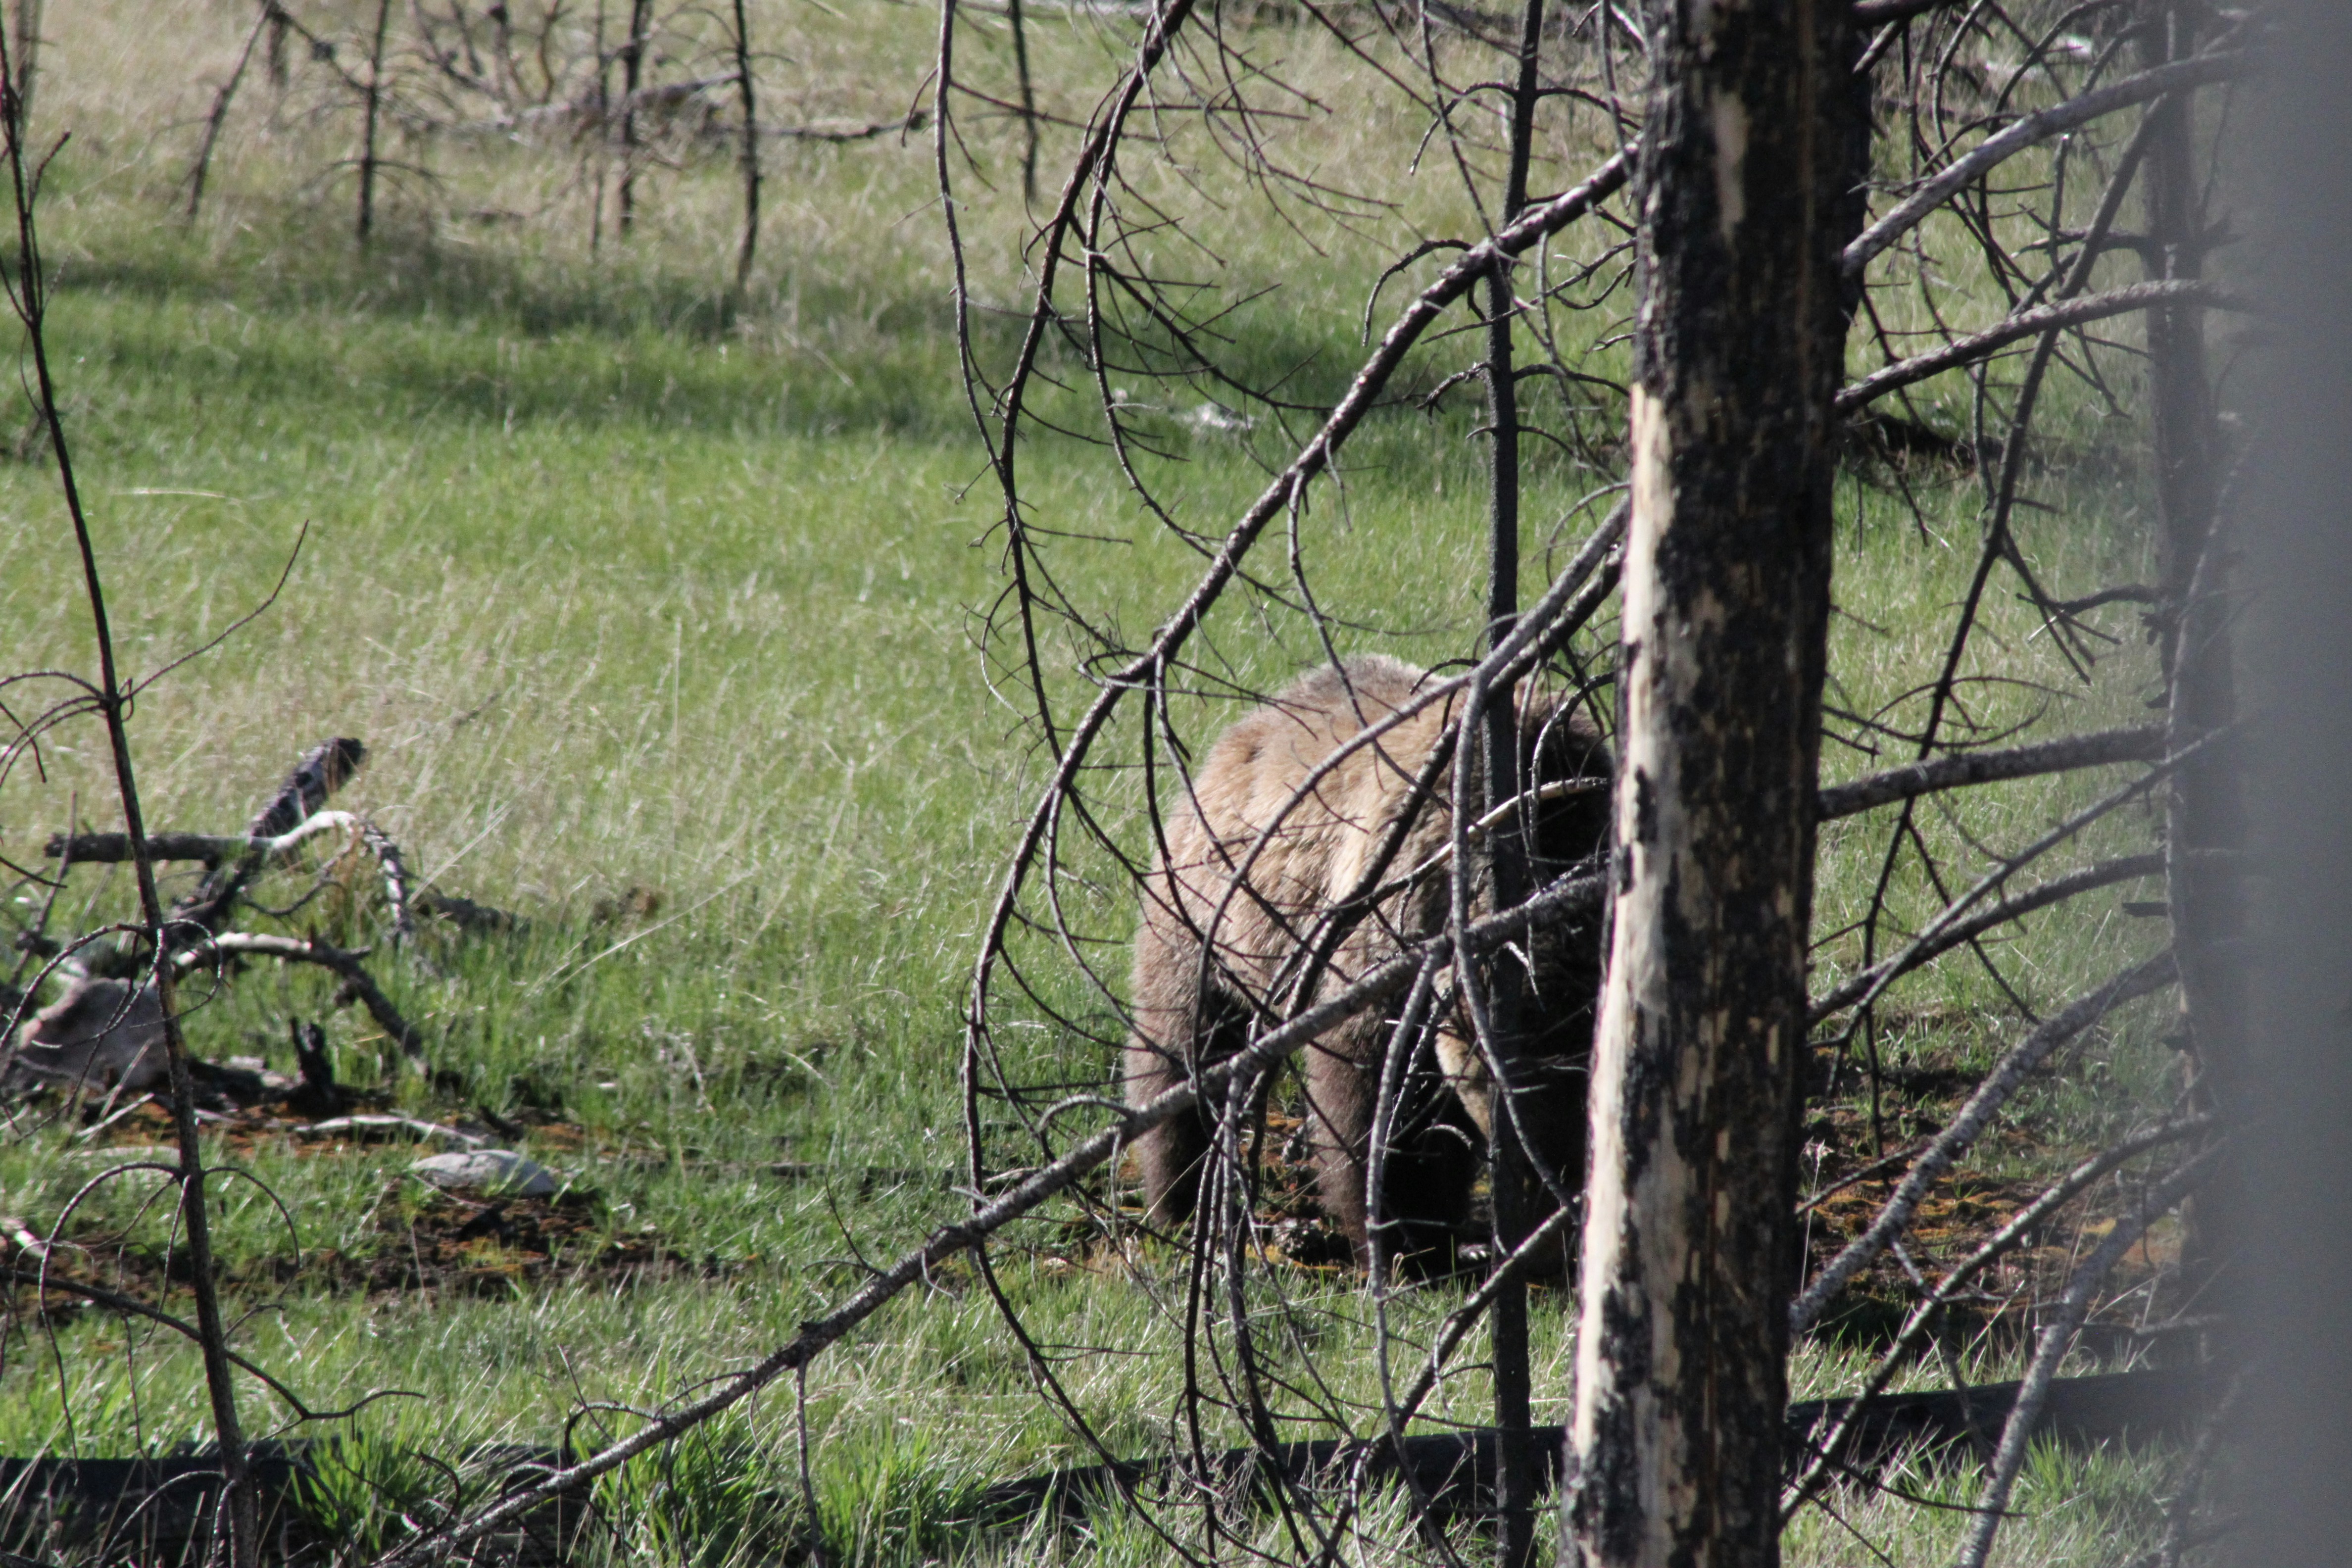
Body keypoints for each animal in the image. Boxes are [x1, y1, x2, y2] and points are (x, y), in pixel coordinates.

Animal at [1122, 653, 1611, 1272]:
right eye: (1521, 1107)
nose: (1557, 1217)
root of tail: (1249, 725)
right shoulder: (1391, 926)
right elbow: (1374, 1095)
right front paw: (1405, 1238)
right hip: (1213, 916)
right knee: (1185, 1041)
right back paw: (1179, 1197)